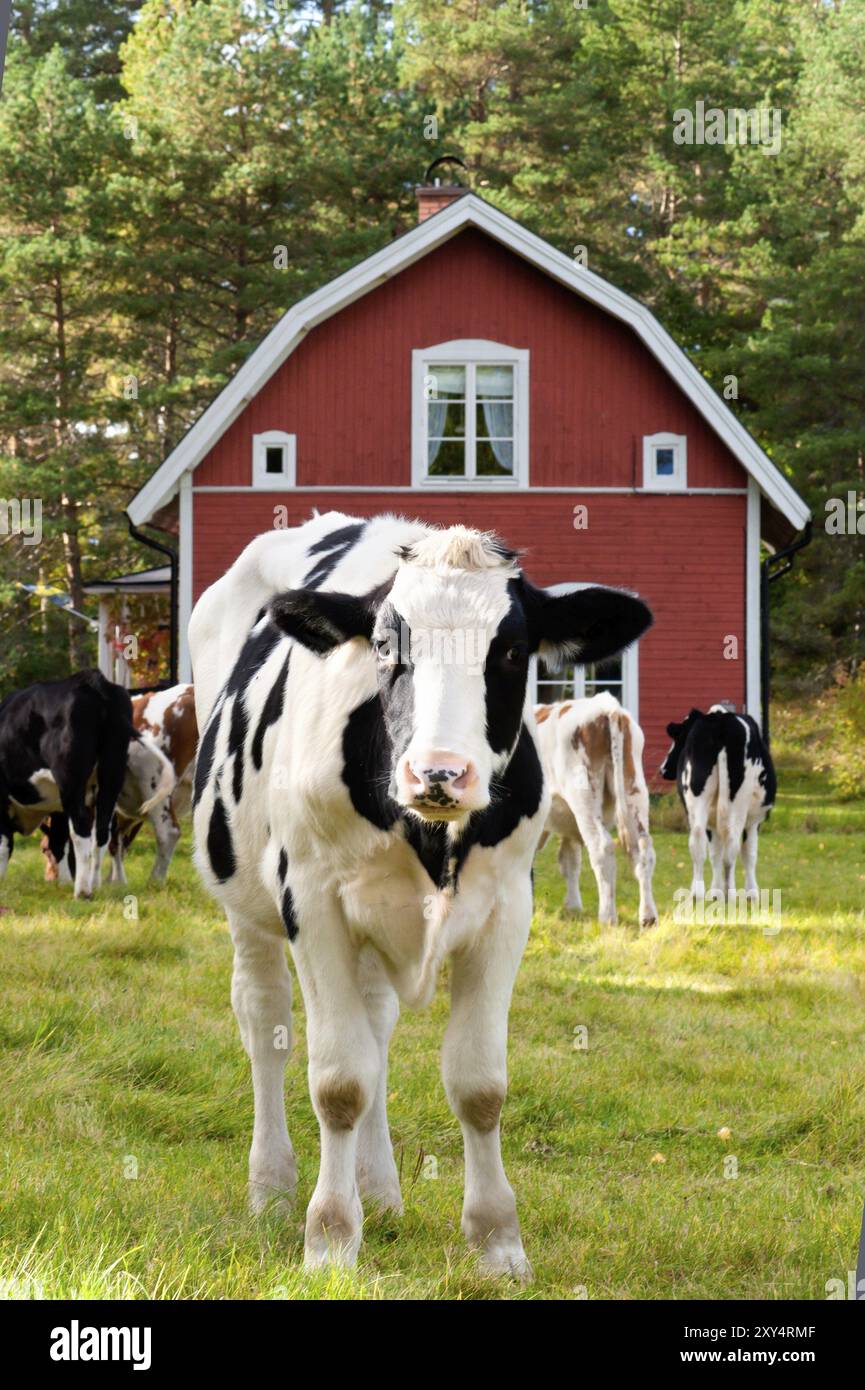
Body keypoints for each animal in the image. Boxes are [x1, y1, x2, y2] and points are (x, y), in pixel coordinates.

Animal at [0, 670, 138, 899]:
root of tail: (93, 681)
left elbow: (4, 843)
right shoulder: (57, 806)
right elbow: (58, 841)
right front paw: (64, 882)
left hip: (71, 780)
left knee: (81, 828)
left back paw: (82, 891)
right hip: (112, 774)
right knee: (101, 832)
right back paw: (94, 884)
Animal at [533, 693, 658, 926]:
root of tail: (607, 708)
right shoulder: (568, 826)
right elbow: (569, 861)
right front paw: (573, 907)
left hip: (584, 798)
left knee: (602, 847)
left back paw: (607, 916)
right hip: (634, 790)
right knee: (644, 849)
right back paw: (648, 916)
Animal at [660, 705, 776, 900]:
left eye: (678, 737)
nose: (662, 769)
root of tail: (720, 721)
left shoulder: (714, 822)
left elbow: (715, 852)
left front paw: (715, 891)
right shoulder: (755, 819)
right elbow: (749, 853)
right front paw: (751, 892)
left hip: (698, 799)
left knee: (698, 841)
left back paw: (697, 893)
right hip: (737, 803)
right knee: (731, 845)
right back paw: (730, 893)